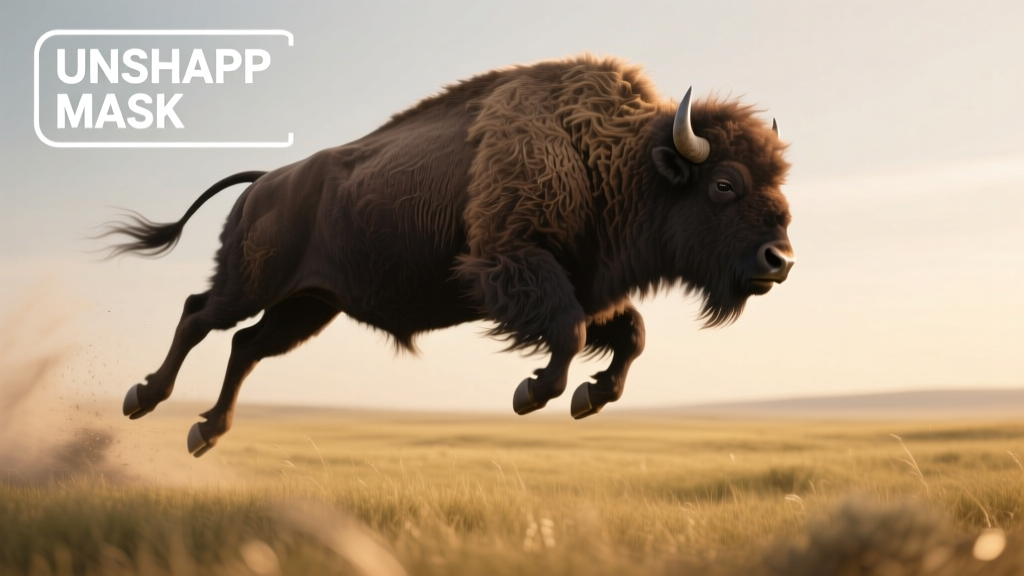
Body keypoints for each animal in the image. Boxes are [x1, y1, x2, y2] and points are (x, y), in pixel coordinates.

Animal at [107, 55, 795, 457]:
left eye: (777, 179)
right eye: (724, 184)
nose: (780, 260)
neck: (608, 157)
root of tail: (266, 181)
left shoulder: (594, 288)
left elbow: (631, 336)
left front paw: (589, 397)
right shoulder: (512, 266)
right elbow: (571, 334)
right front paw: (532, 391)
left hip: (308, 307)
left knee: (245, 346)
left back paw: (205, 431)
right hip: (254, 285)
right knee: (200, 315)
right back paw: (143, 397)